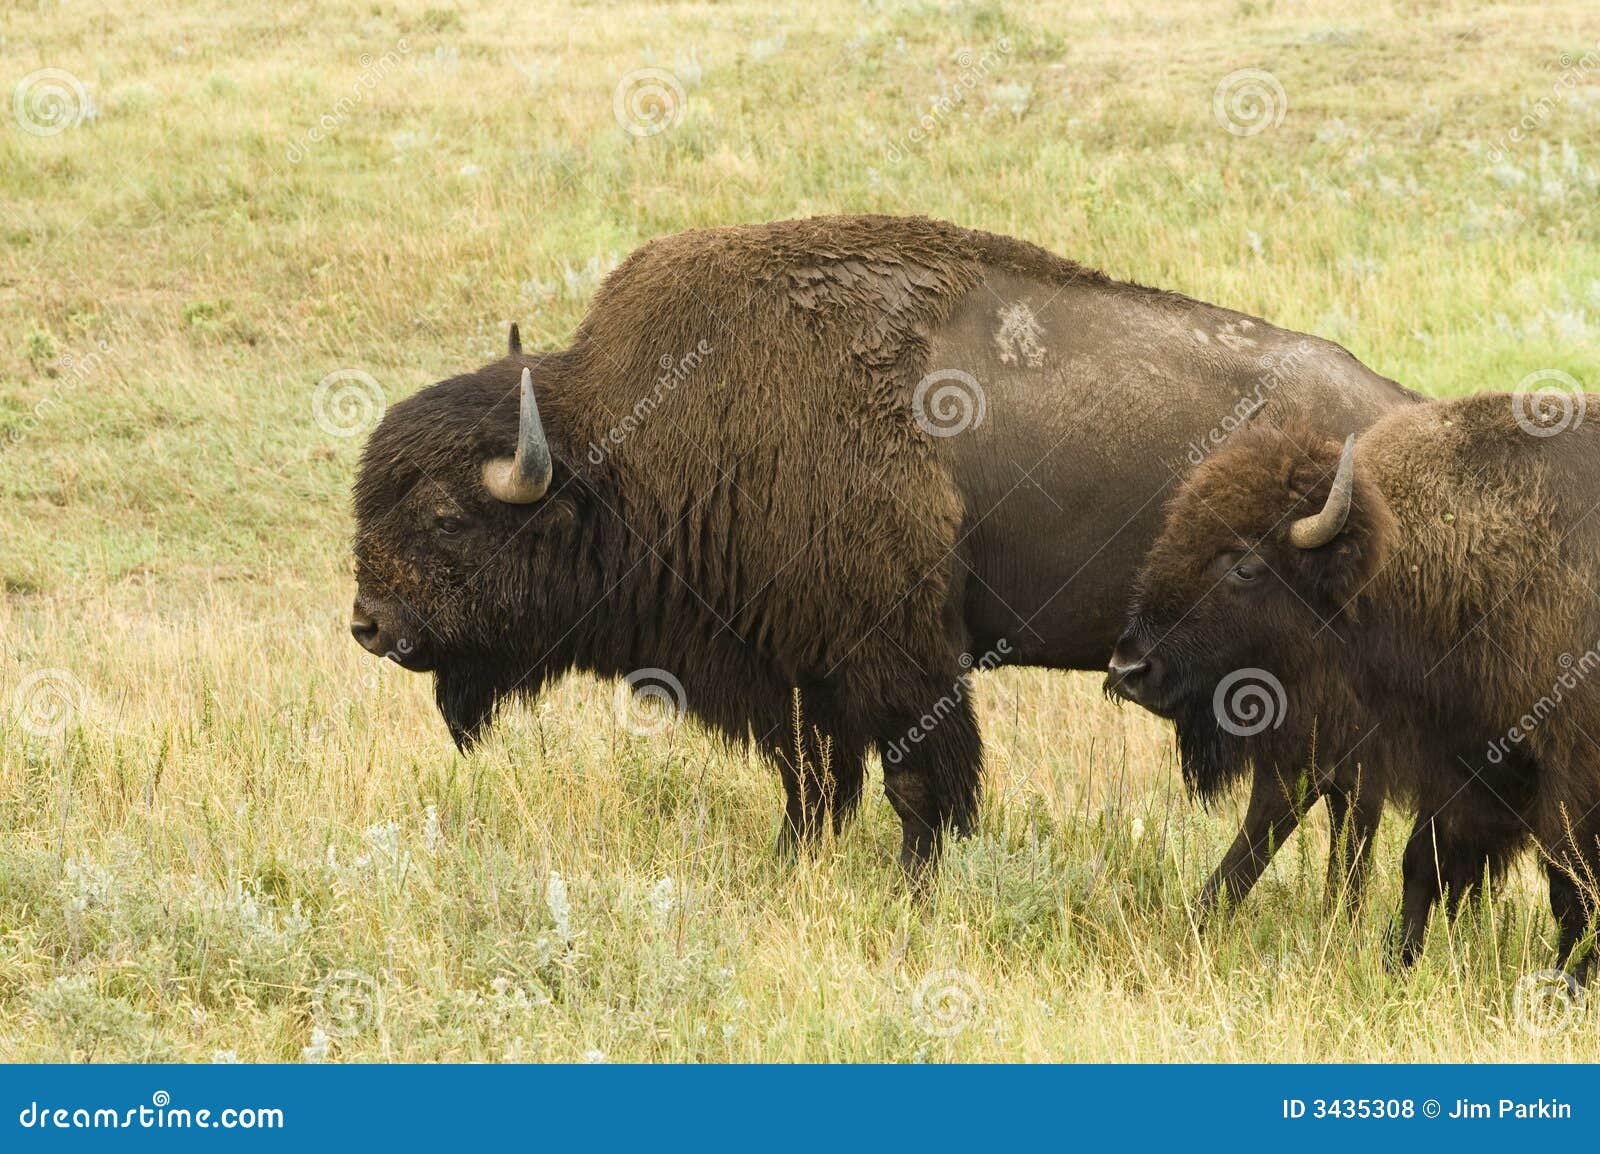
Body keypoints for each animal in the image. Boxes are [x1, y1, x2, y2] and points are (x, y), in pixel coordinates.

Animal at [349, 214, 1415, 879]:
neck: (630, 445)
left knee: (1298, 789)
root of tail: (1392, 411)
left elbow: (917, 785)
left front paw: (915, 889)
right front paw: (794, 866)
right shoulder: (801, 667)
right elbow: (817, 783)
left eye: (446, 516)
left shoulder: (895, 659)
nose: (368, 624)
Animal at [1108, 395, 1600, 978]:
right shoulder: (1465, 761)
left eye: (1245, 567)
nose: (1129, 669)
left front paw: (1567, 980)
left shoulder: (1568, 774)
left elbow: (1572, 886)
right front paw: (1396, 964)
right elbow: (1424, 861)